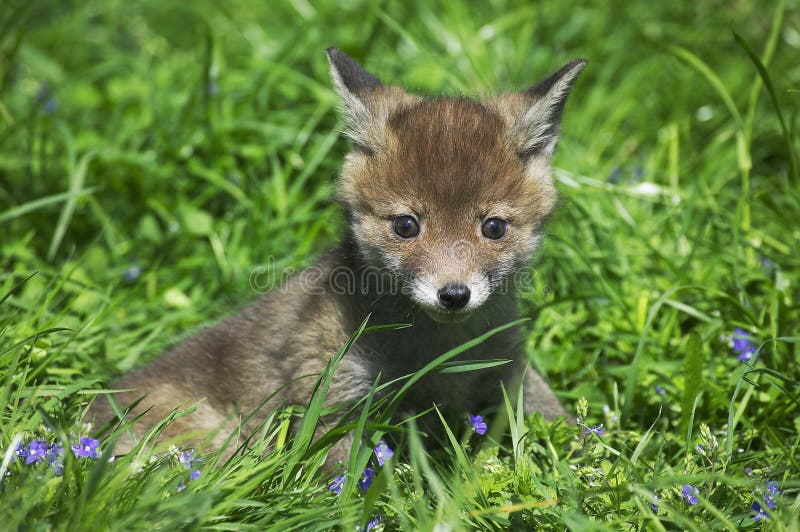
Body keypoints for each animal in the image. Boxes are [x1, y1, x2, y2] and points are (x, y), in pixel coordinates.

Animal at [88, 48, 586, 464]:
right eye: (406, 226)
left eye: (494, 228)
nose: (453, 294)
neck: (440, 350)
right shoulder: (332, 396)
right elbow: (343, 478)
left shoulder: (509, 362)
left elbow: (557, 417)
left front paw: (585, 461)